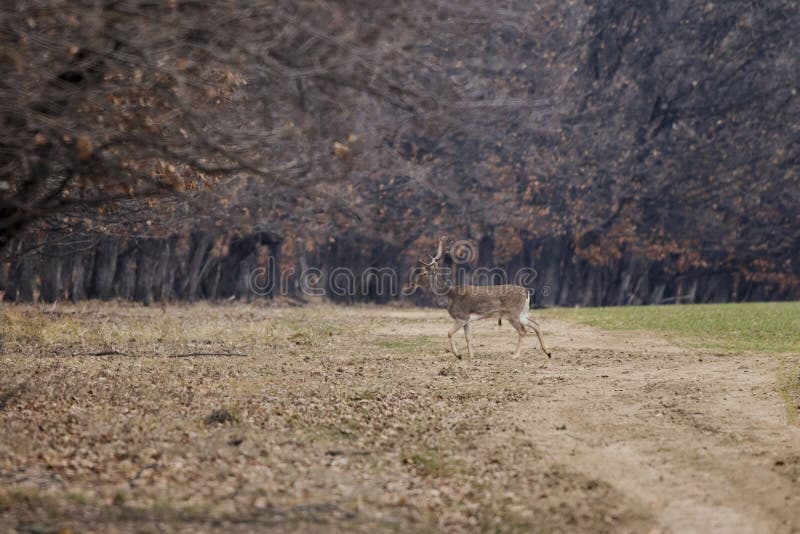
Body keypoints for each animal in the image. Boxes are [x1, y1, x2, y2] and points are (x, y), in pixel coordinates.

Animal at [410, 236, 551, 360]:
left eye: (424, 273)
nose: (413, 282)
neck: (450, 297)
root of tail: (526, 291)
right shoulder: (468, 320)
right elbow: (468, 337)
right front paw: (471, 357)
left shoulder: (462, 316)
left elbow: (449, 332)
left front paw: (459, 355)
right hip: (522, 313)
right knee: (536, 325)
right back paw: (548, 352)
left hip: (512, 313)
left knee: (523, 330)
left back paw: (515, 355)